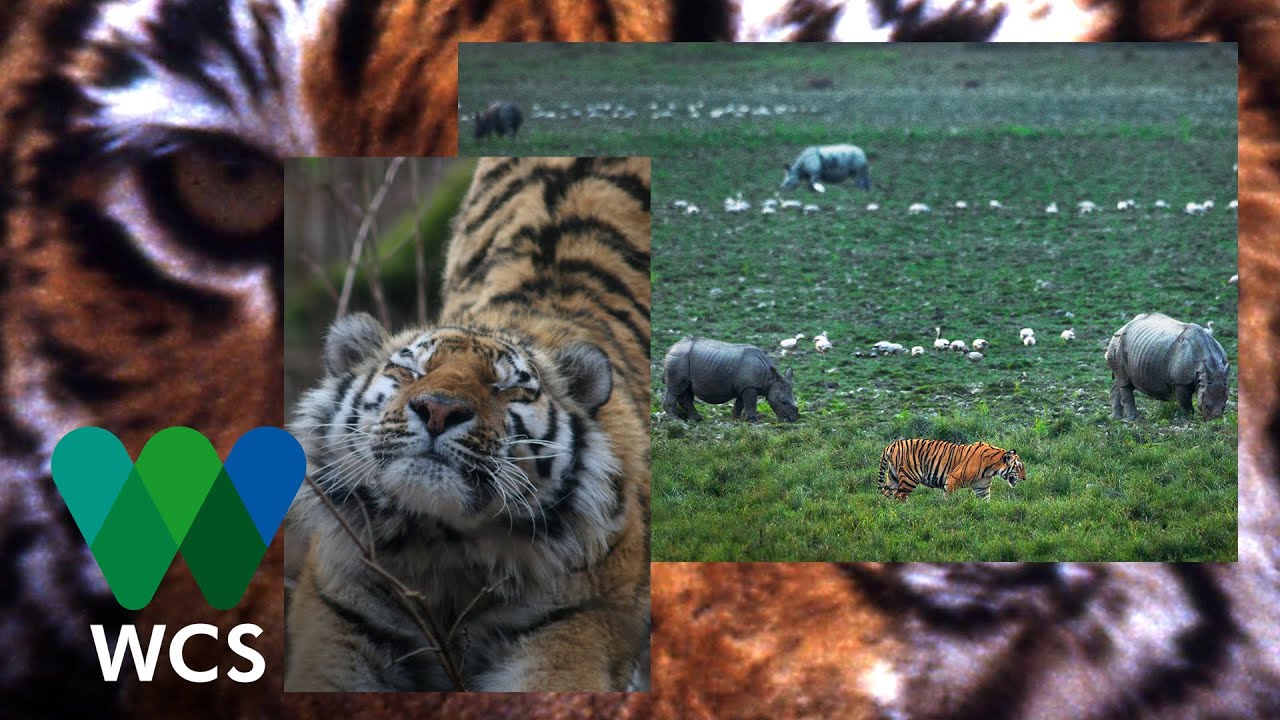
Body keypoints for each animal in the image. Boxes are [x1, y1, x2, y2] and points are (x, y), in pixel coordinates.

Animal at [284, 157, 651, 692]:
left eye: (506, 388)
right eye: (413, 371)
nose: (438, 409)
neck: (442, 547)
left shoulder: (571, 627)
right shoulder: (340, 616)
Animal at [877, 438, 1025, 501]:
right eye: (1018, 467)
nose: (1025, 478)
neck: (992, 469)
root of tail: (892, 444)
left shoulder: (982, 488)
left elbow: (985, 502)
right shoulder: (953, 478)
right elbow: (948, 497)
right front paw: (947, 509)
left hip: (894, 476)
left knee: (886, 491)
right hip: (909, 477)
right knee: (899, 495)